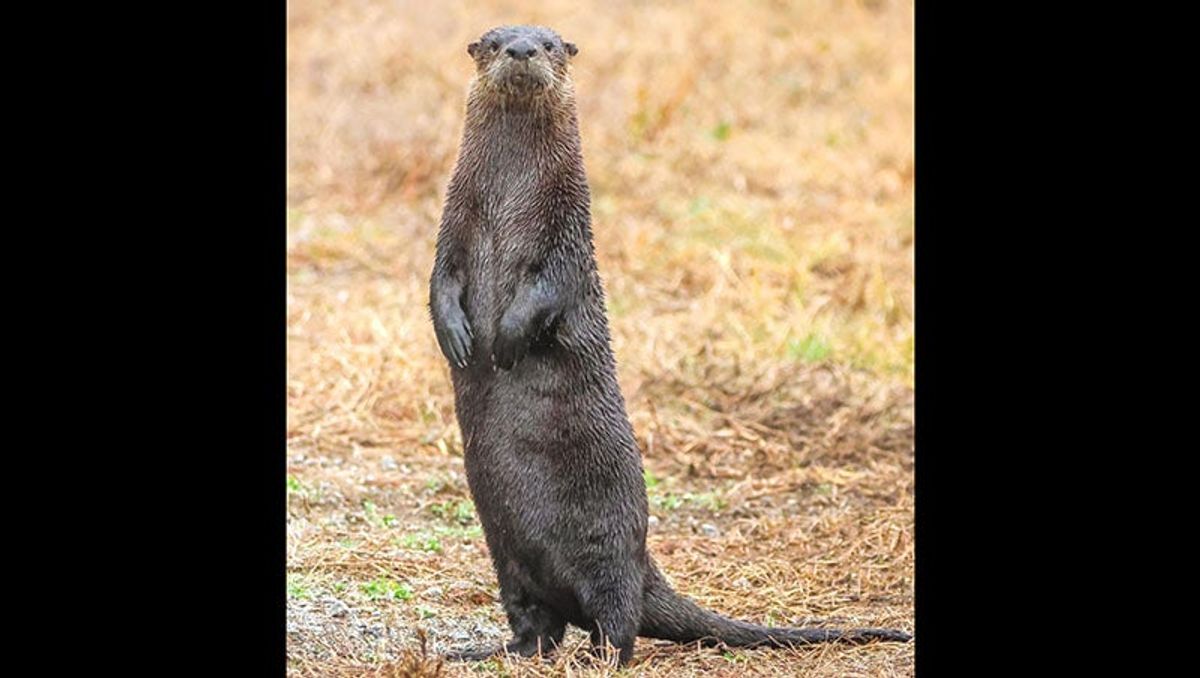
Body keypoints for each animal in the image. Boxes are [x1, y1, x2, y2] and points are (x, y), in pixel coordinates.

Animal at [428, 25, 911, 665]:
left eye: (551, 43)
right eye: (494, 40)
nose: (523, 50)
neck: (508, 200)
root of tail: (643, 563)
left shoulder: (565, 233)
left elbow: (547, 289)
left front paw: (504, 341)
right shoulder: (453, 221)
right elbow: (439, 282)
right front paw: (456, 336)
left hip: (607, 546)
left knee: (618, 617)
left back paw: (600, 656)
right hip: (507, 557)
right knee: (538, 624)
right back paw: (493, 650)